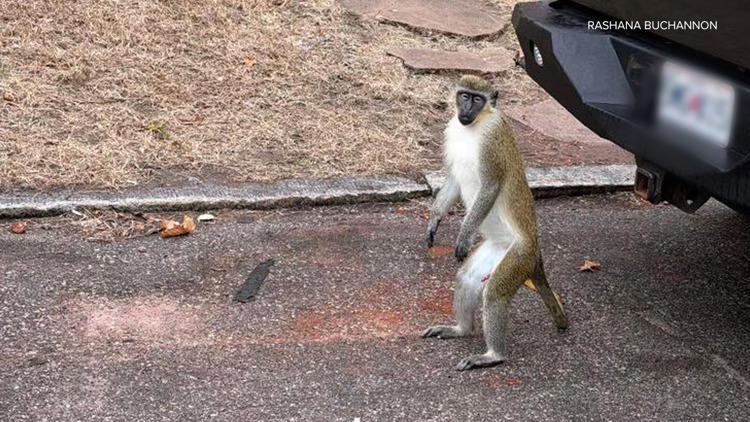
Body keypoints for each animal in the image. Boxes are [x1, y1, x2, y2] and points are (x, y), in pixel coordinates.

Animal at [422, 75, 568, 371]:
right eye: (464, 95)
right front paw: (435, 219)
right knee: (467, 278)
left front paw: (464, 234)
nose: (466, 110)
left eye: (478, 99)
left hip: (519, 256)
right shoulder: (452, 130)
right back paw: (461, 330)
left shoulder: (493, 139)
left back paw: (494, 355)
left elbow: (490, 187)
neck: (474, 127)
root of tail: (535, 251)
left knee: (495, 293)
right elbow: (453, 179)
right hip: (498, 250)